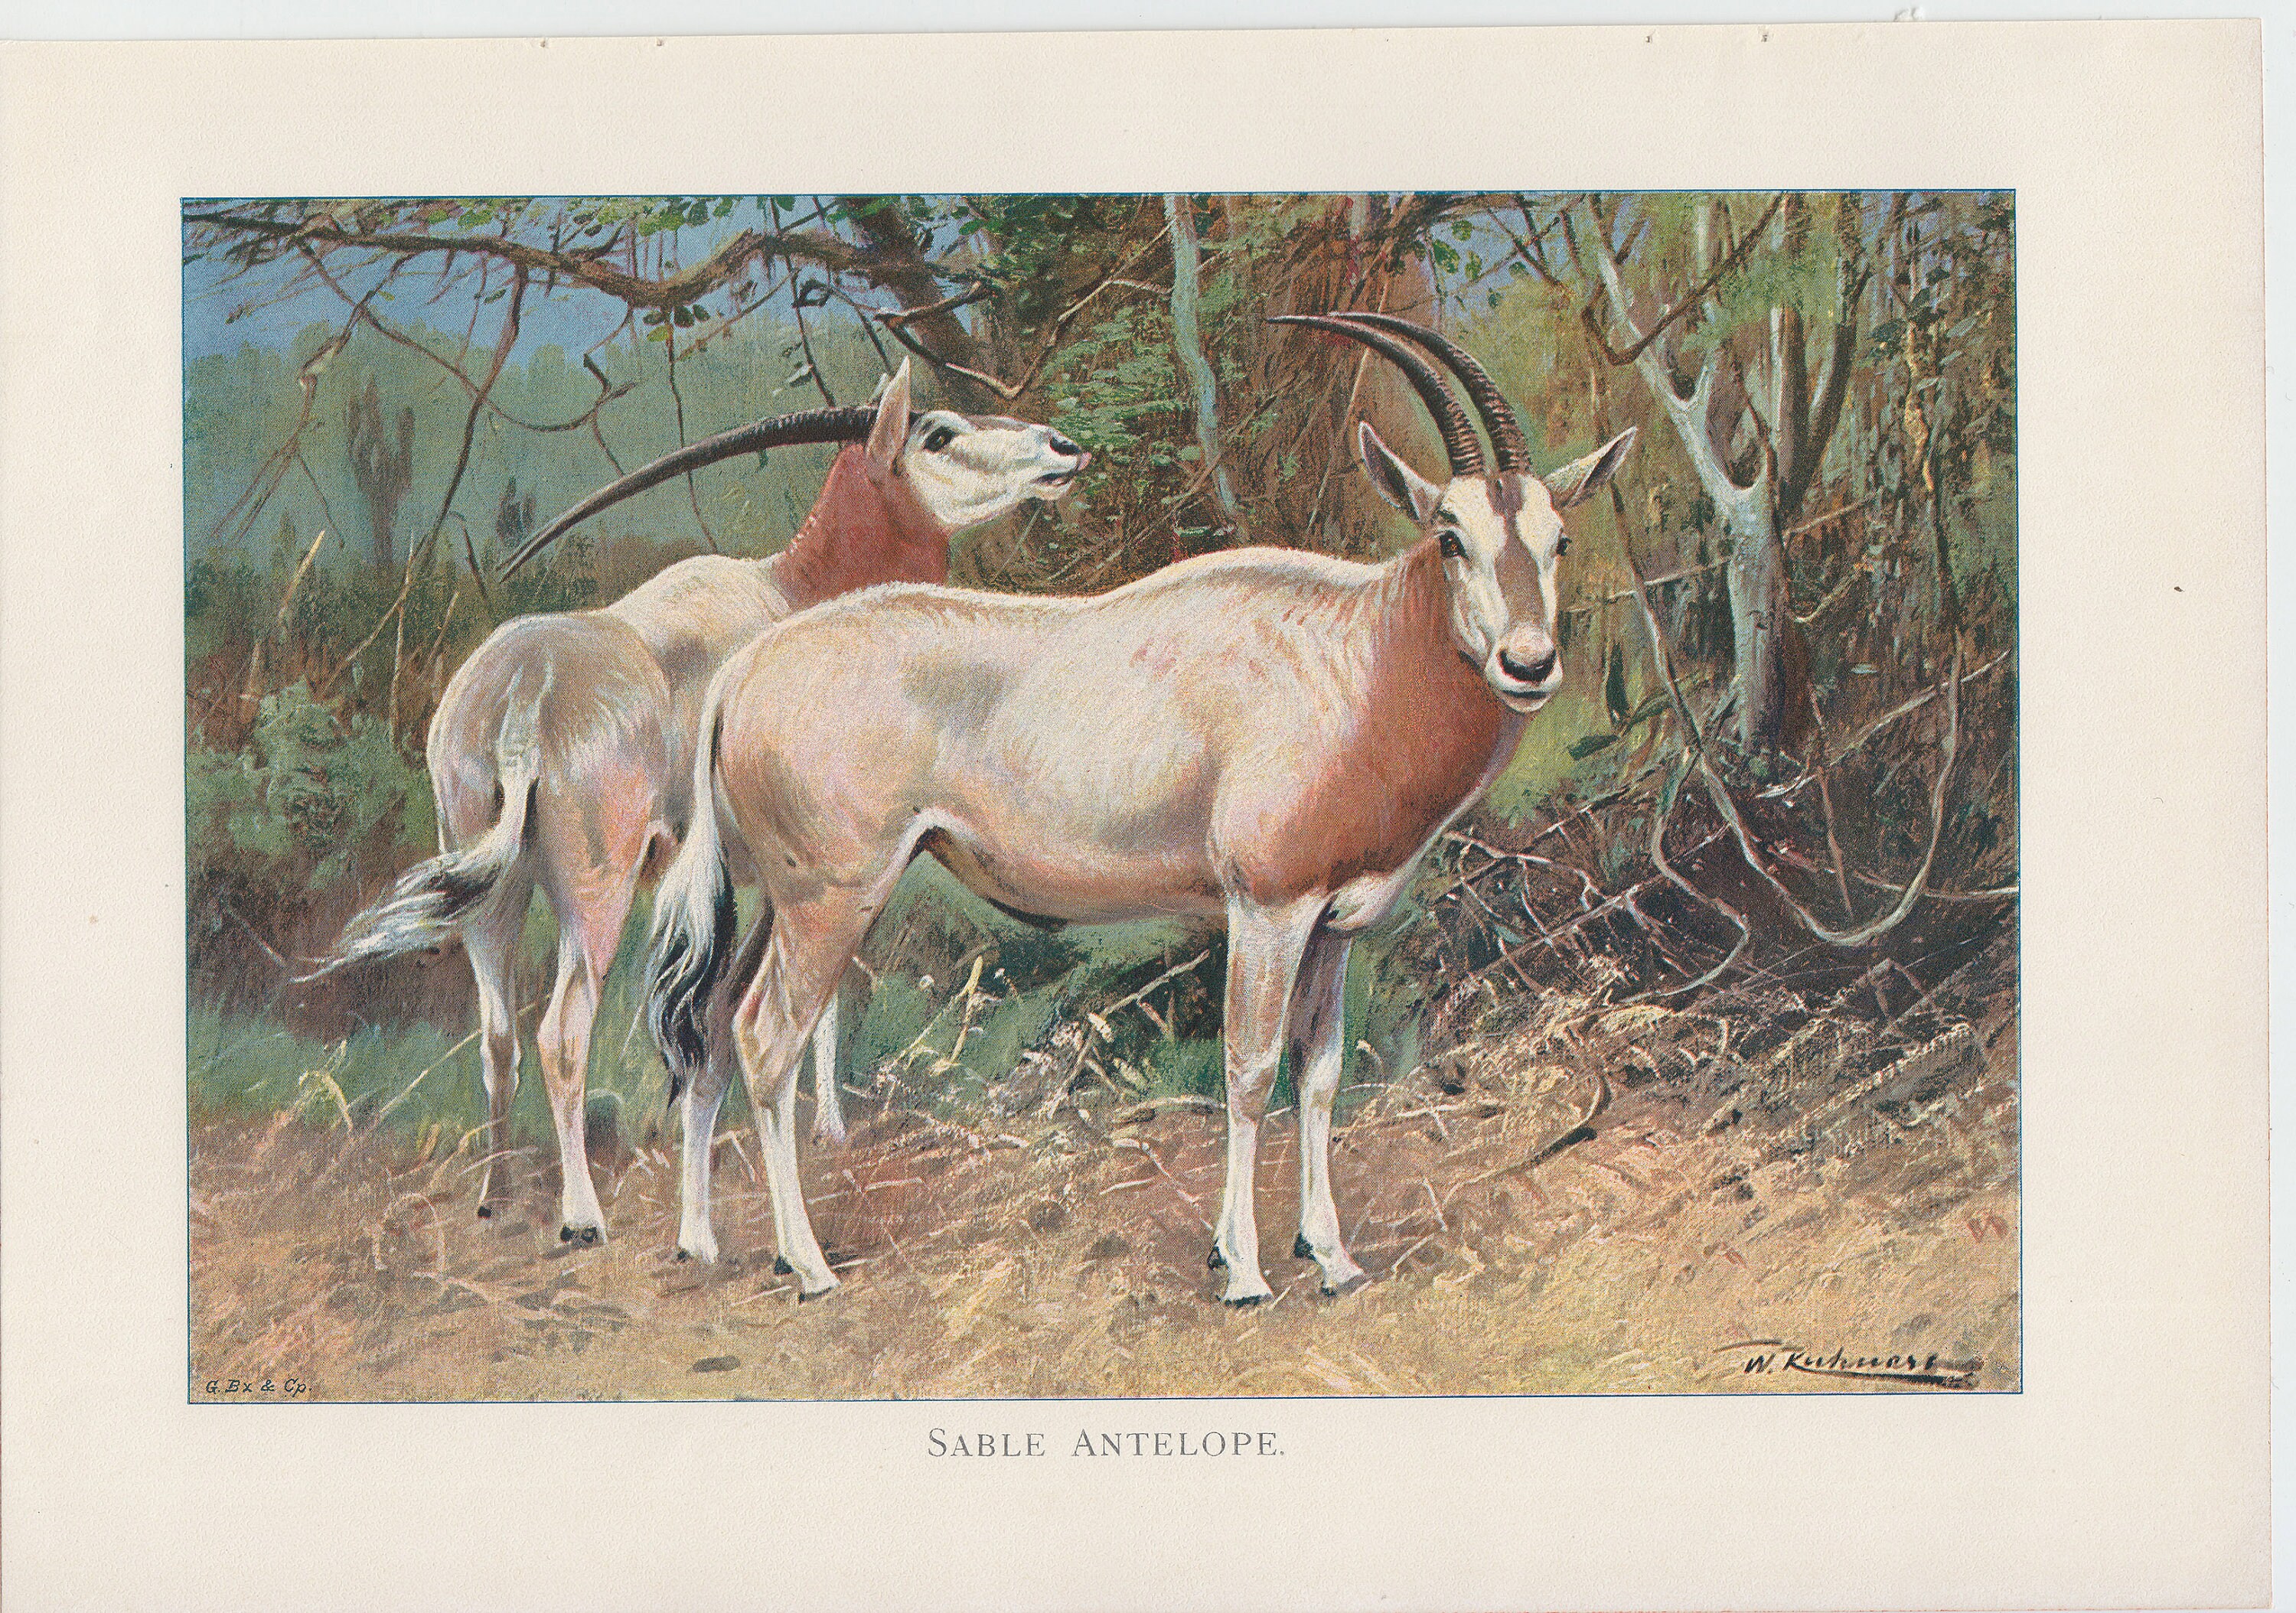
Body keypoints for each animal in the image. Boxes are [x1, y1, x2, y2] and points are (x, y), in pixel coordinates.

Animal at [316, 361, 1088, 1244]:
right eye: (940, 434)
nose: (1062, 447)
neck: (794, 588)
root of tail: (520, 696)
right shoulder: (795, 868)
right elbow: (806, 996)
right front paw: (821, 1128)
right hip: (597, 887)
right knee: (560, 1033)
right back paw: (580, 1216)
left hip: (492, 885)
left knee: (498, 1034)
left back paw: (498, 1192)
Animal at [647, 314, 1632, 1301]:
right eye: (1451, 536)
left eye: (1559, 539)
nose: (1529, 663)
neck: (1353, 652)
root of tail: (747, 667)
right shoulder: (1267, 909)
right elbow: (1250, 1070)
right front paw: (1244, 1269)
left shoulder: (1334, 925)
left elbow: (1318, 1074)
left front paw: (1334, 1256)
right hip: (832, 899)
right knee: (765, 1039)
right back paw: (810, 1265)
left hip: (777, 902)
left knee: (713, 1026)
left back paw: (706, 1241)